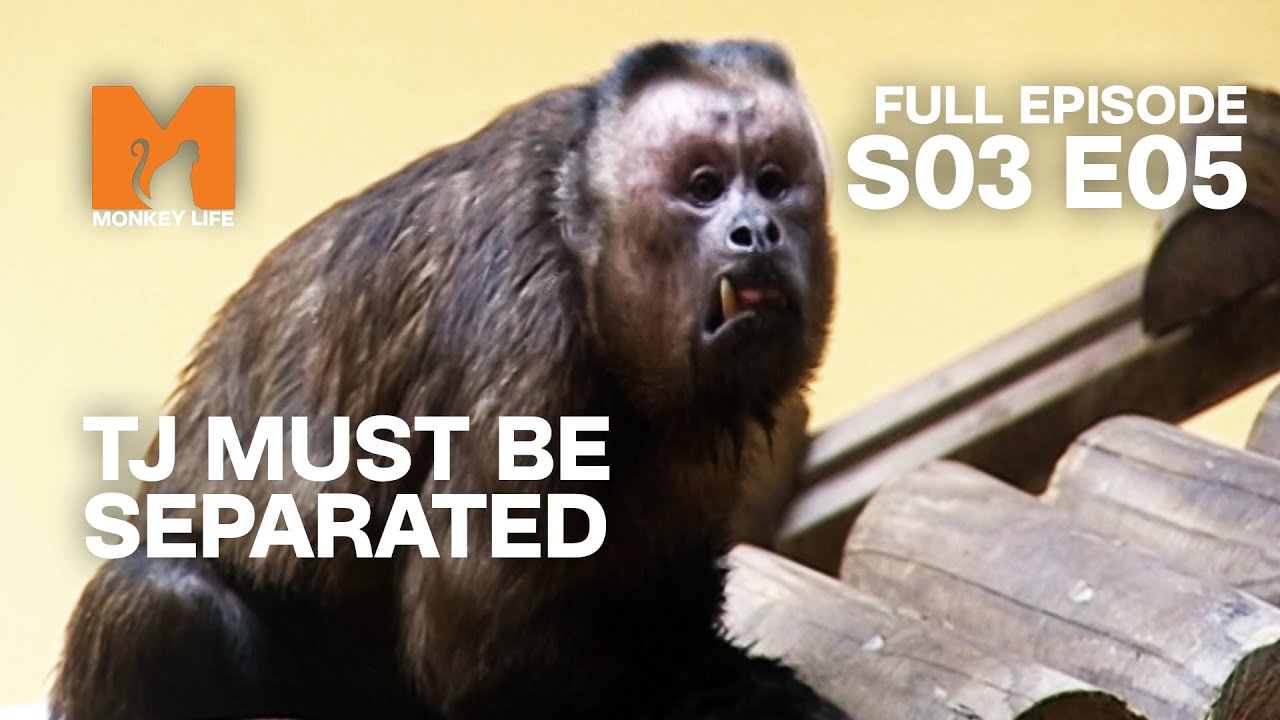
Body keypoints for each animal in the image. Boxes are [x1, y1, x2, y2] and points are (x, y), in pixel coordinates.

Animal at [53, 40, 845, 720]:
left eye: (772, 184)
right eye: (705, 188)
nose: (756, 229)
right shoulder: (527, 331)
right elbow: (476, 658)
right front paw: (718, 696)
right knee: (168, 600)